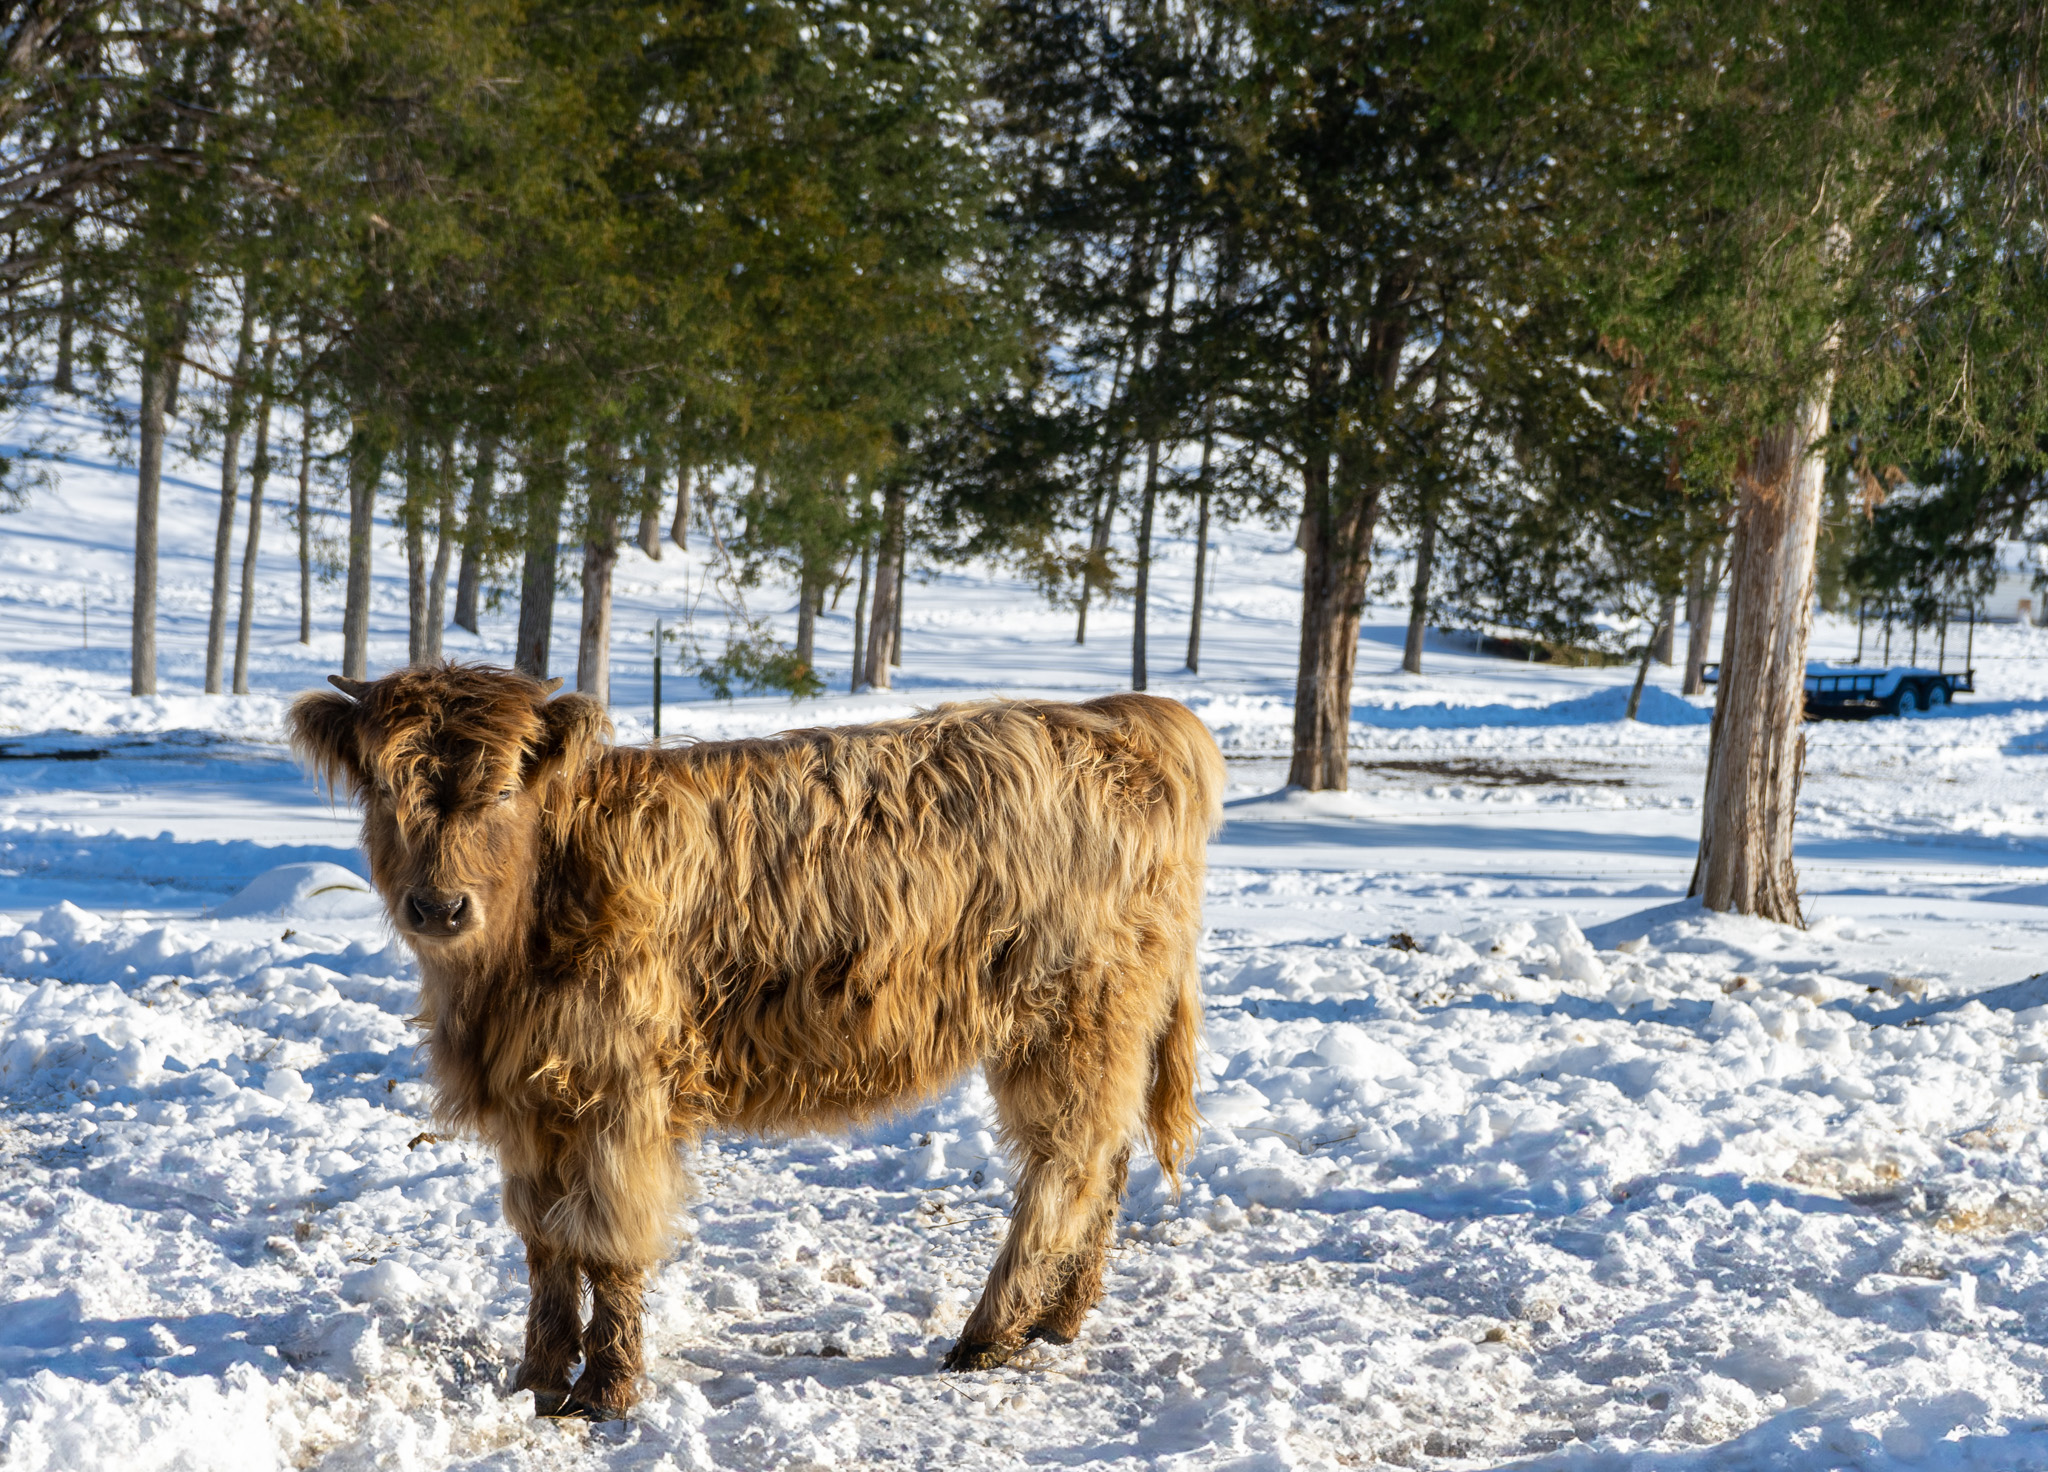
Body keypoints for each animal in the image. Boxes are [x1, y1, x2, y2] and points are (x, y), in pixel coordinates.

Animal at [288, 663, 1222, 1419]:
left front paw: (605, 1390)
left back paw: (990, 1331)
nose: (440, 908)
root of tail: (1117, 719)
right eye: (383, 787)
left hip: (1070, 1021)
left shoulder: (620, 1094)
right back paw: (1059, 1319)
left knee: (1068, 1165)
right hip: (1102, 1029)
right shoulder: (529, 1104)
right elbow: (546, 1246)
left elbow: (607, 1241)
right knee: (1107, 1159)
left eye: (506, 789)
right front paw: (538, 1377)